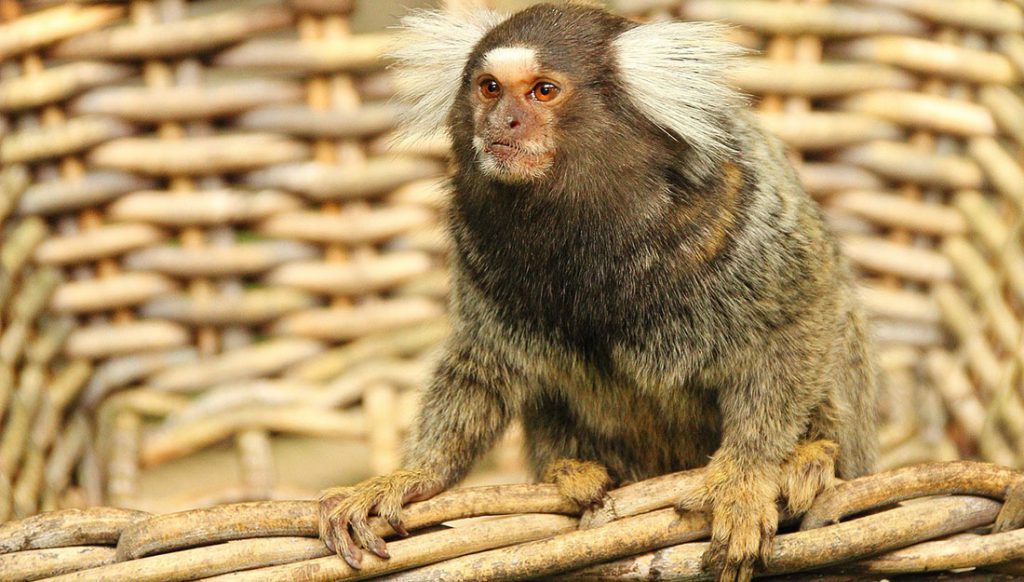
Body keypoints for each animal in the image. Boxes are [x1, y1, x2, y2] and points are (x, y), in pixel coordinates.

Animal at [317, 4, 879, 582]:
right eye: (489, 87)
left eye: (543, 91)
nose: (501, 122)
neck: (579, 218)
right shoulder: (476, 253)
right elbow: (483, 367)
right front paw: (414, 475)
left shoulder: (736, 214)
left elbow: (799, 317)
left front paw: (745, 480)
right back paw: (572, 470)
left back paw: (814, 457)